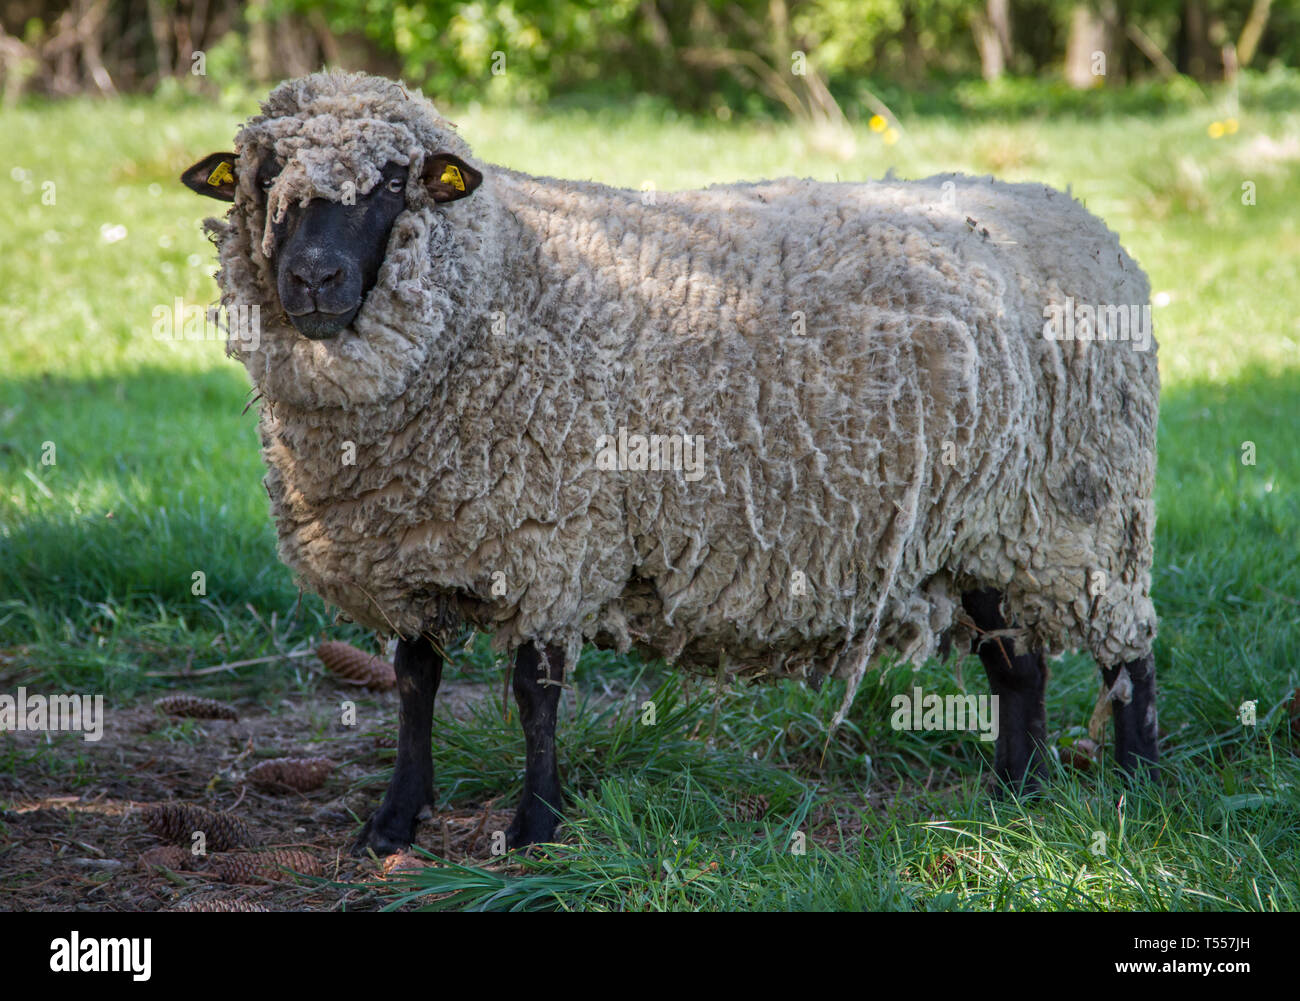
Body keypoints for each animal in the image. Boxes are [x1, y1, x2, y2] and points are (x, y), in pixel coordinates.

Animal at [182, 70, 1160, 856]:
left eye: (392, 182)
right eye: (262, 176)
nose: (313, 279)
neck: (501, 274)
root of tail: (1079, 216)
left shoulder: (552, 540)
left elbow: (535, 691)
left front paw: (537, 825)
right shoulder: (414, 549)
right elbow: (415, 685)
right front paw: (392, 822)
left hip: (1087, 514)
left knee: (1127, 648)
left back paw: (1139, 785)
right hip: (992, 528)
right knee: (1019, 664)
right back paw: (1014, 793)